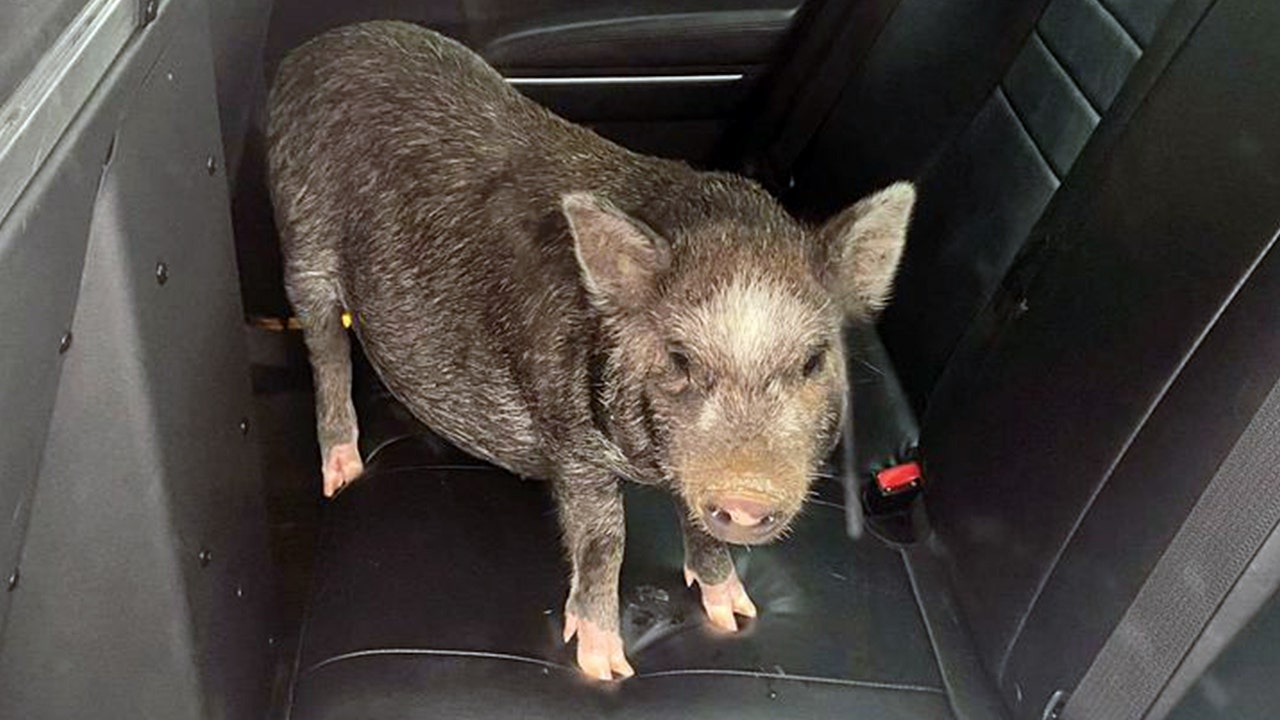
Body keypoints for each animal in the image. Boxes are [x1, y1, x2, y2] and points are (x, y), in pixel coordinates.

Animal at [267, 20, 914, 681]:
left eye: (813, 360)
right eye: (679, 360)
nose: (746, 496)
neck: (646, 462)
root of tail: (316, 47)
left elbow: (702, 530)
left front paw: (737, 615)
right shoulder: (567, 434)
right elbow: (604, 538)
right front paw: (605, 667)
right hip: (303, 238)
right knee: (326, 351)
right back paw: (342, 475)